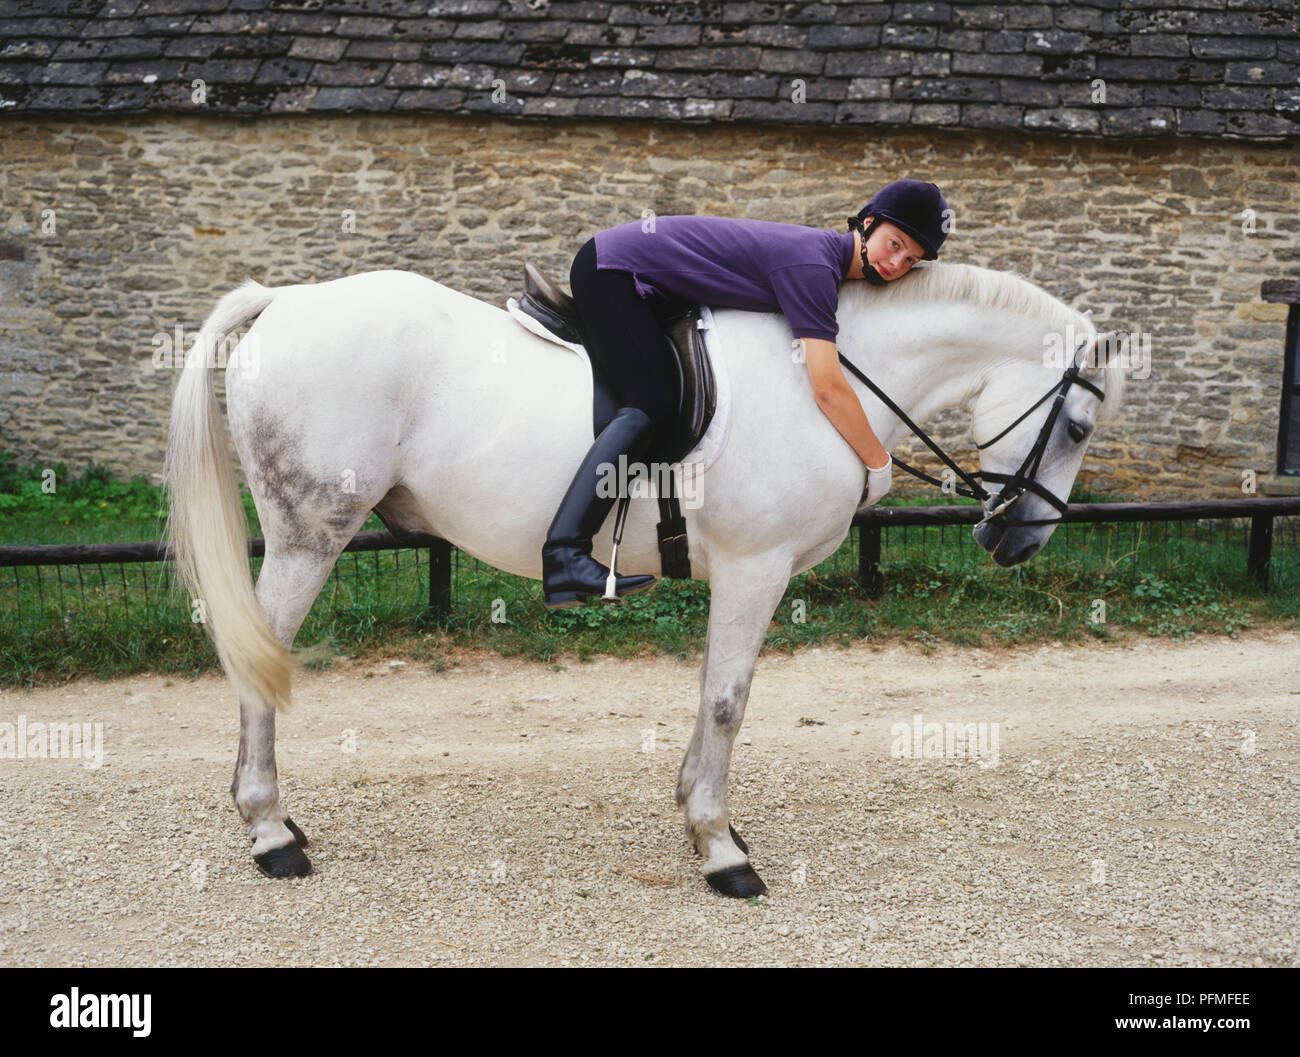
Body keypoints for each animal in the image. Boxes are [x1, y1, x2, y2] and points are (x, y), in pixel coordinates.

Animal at [164, 260, 1127, 897]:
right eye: (1078, 426)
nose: (1023, 540)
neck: (826, 375)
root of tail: (284, 301)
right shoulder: (754, 566)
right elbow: (729, 700)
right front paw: (722, 849)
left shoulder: (738, 573)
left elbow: (710, 693)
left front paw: (703, 817)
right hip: (309, 536)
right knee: (258, 663)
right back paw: (270, 833)